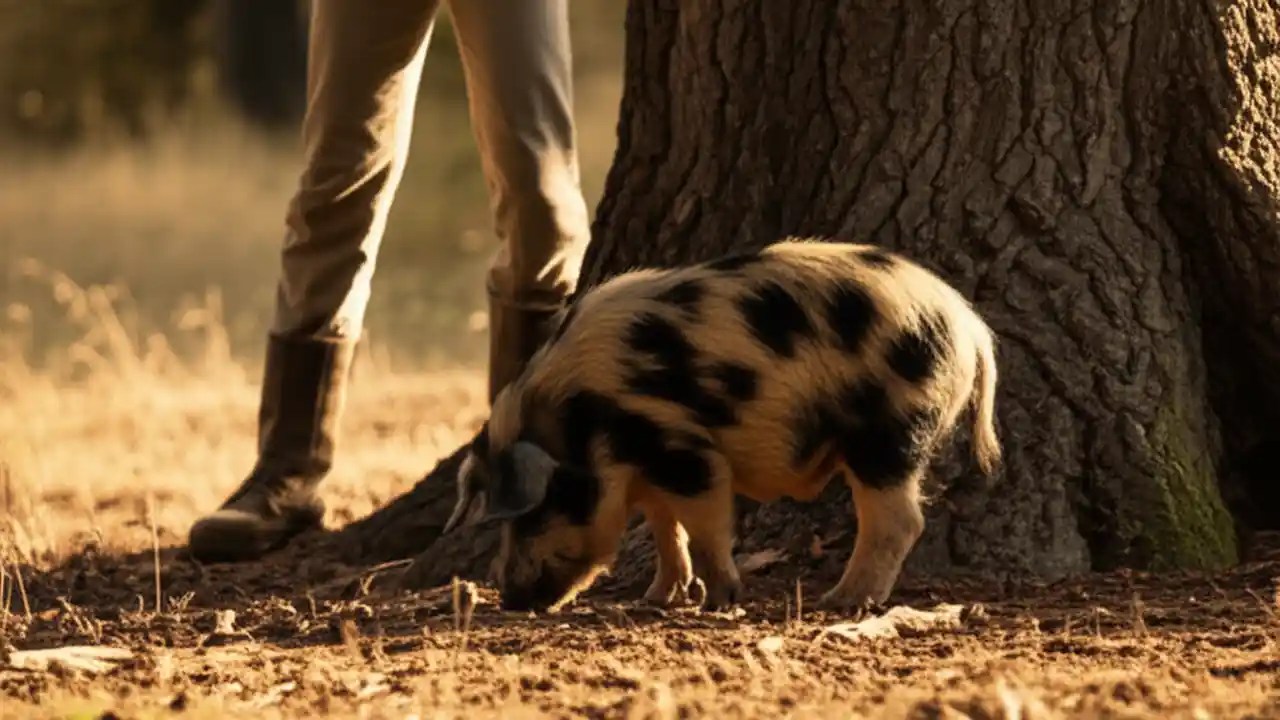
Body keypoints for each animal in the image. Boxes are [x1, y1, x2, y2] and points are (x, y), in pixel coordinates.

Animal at [442, 236, 1001, 613]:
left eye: (532, 512)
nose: (508, 596)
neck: (581, 416)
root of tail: (971, 328)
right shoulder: (646, 466)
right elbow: (665, 527)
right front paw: (659, 597)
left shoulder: (682, 445)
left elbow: (705, 521)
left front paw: (719, 600)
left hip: (889, 428)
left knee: (900, 519)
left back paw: (843, 602)